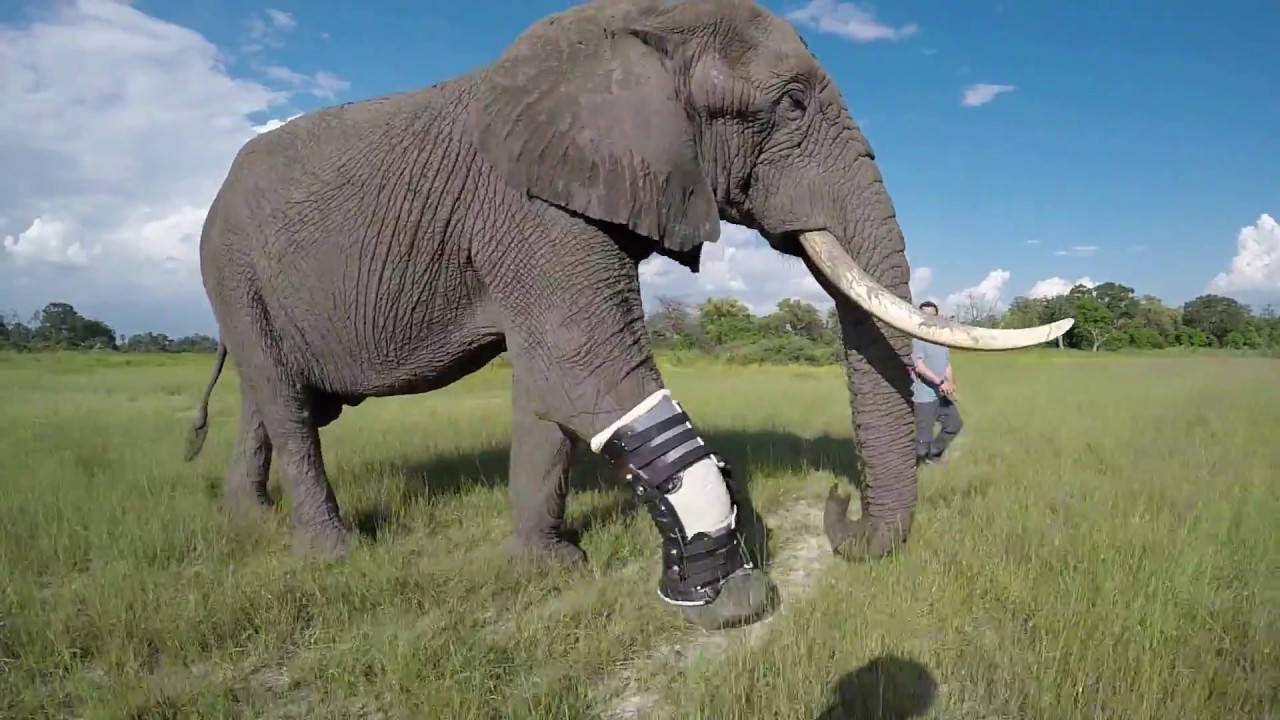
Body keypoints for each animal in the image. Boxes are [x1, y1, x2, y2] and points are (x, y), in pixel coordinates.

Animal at [183, 0, 1072, 631]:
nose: (839, 510)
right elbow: (585, 372)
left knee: (272, 399)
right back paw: (330, 555)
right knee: (288, 405)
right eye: (790, 105)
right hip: (228, 263)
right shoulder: (529, 205)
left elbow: (548, 391)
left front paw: (546, 568)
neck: (644, 25)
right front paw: (730, 601)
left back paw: (248, 520)